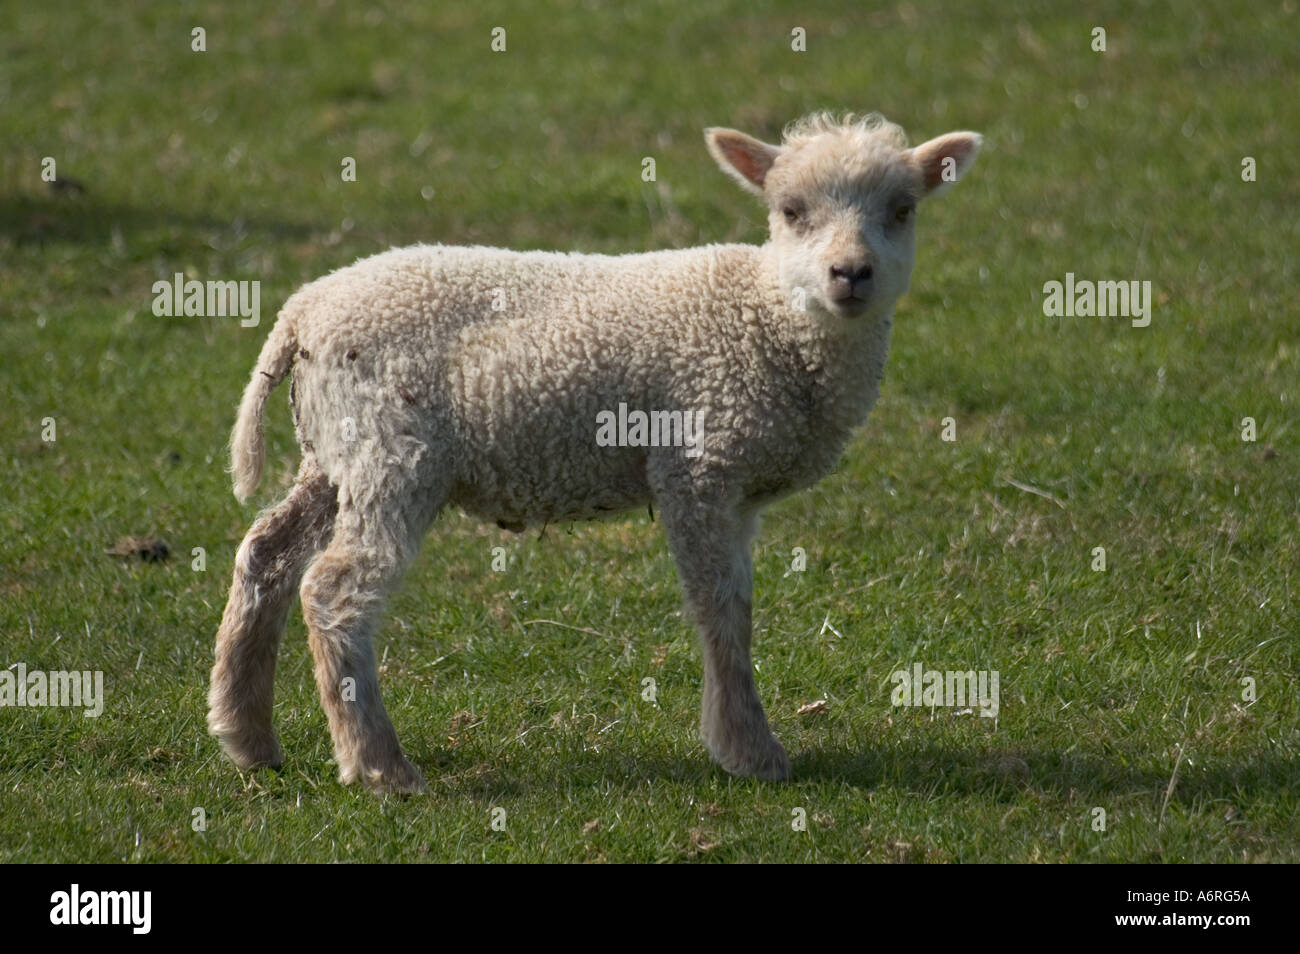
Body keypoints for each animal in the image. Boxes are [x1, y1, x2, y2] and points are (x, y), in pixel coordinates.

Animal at [207, 112, 982, 793]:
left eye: (903, 210)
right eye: (791, 211)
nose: (850, 273)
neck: (768, 318)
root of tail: (302, 312)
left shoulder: (737, 492)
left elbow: (737, 605)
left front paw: (739, 738)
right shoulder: (697, 464)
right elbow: (721, 609)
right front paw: (749, 751)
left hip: (335, 450)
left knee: (266, 553)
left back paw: (247, 734)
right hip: (391, 450)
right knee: (334, 589)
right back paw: (379, 767)